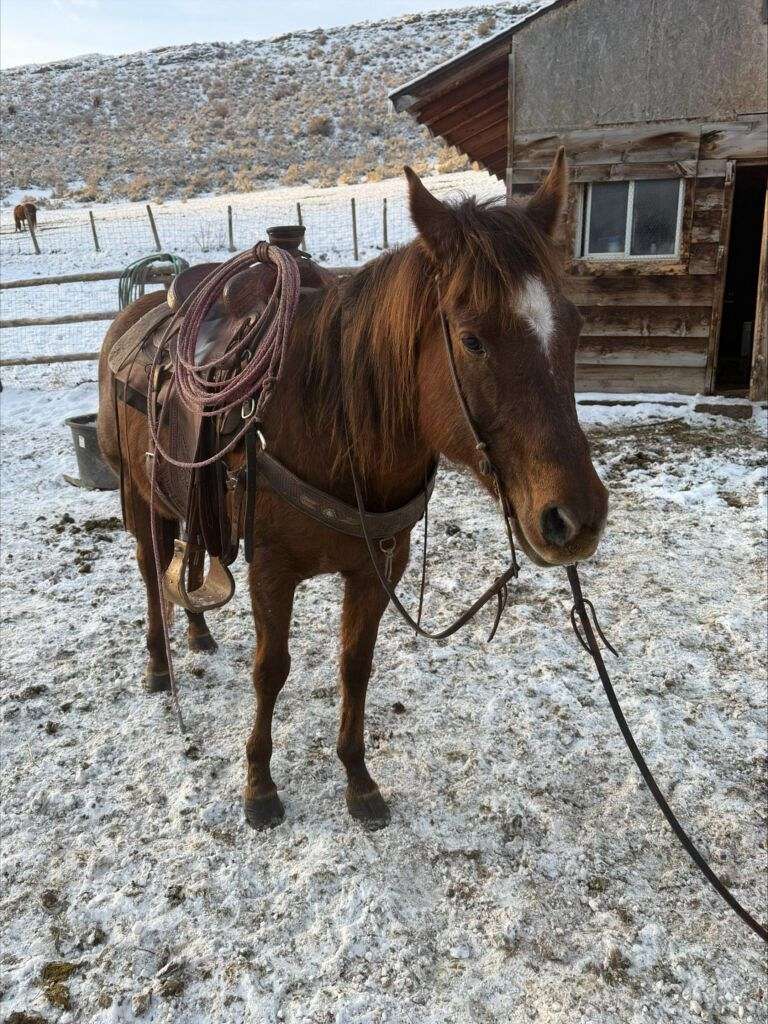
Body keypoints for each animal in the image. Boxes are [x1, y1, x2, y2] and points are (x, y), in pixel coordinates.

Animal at [97, 151, 608, 830]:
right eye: (472, 338)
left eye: (575, 327)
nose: (575, 518)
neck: (332, 418)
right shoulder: (273, 569)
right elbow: (271, 670)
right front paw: (259, 786)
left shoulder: (378, 565)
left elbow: (355, 665)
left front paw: (358, 779)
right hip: (141, 495)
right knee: (152, 570)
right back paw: (159, 663)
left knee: (188, 555)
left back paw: (200, 632)